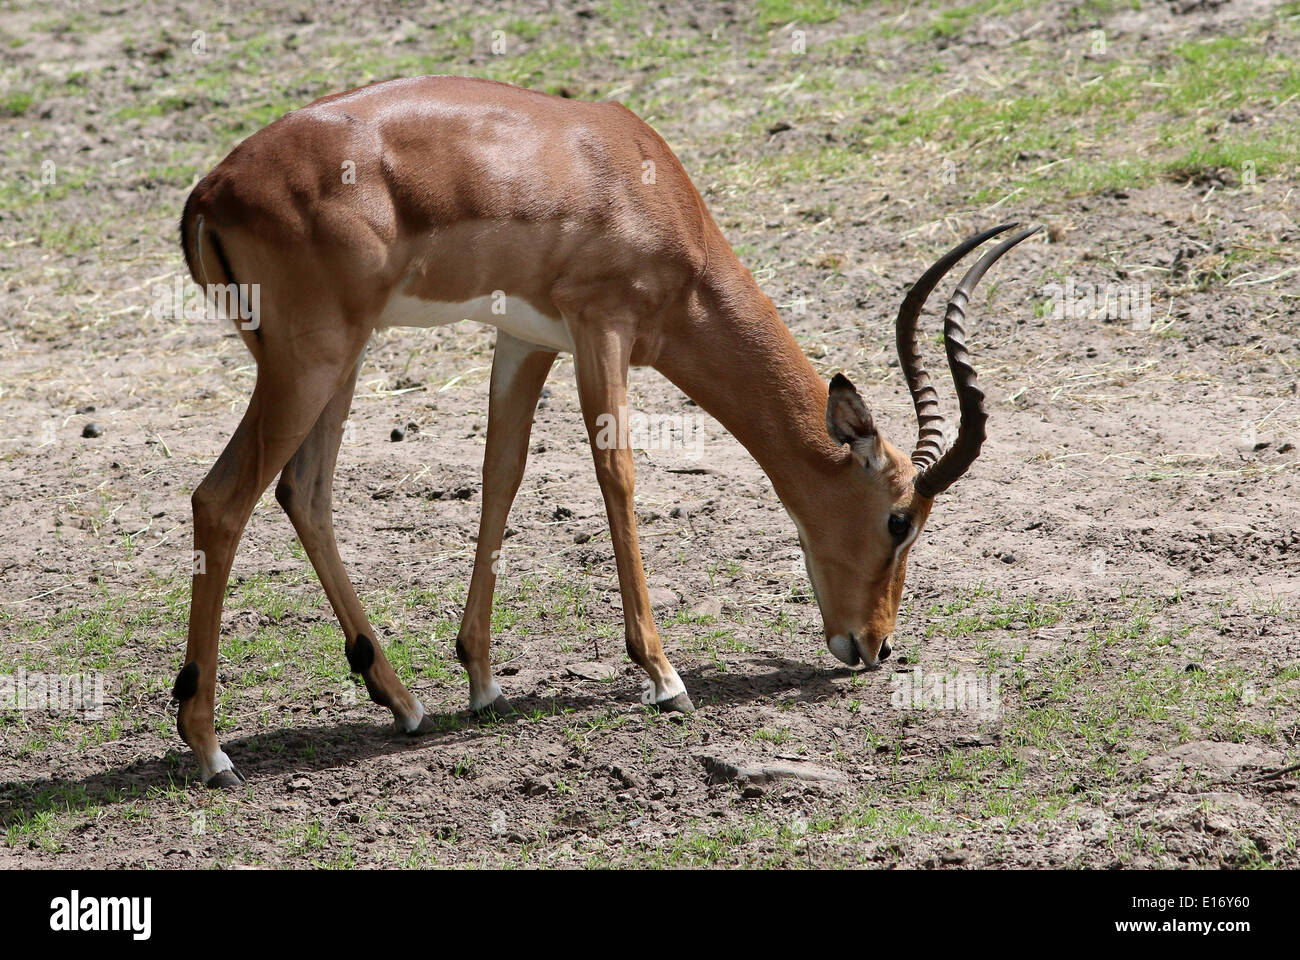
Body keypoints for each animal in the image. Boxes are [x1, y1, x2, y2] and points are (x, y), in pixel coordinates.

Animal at [174, 75, 1039, 787]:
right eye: (900, 520)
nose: (874, 646)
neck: (630, 173)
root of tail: (210, 192)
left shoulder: (526, 339)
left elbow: (501, 474)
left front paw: (482, 680)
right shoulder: (602, 325)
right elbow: (617, 475)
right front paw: (663, 675)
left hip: (338, 363)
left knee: (303, 492)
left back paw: (401, 701)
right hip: (310, 362)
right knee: (220, 499)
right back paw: (212, 750)